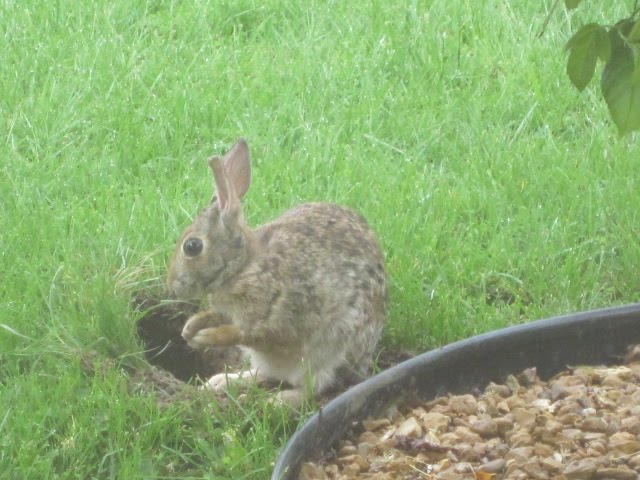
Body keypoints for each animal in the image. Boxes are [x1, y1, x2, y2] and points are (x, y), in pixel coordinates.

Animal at [166, 139, 388, 401]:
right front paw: (190, 327)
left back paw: (278, 401)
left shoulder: (282, 318)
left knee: (312, 387)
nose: (172, 287)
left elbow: (245, 333)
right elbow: (217, 316)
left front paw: (206, 337)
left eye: (192, 246)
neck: (242, 267)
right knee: (262, 373)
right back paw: (220, 382)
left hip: (331, 349)